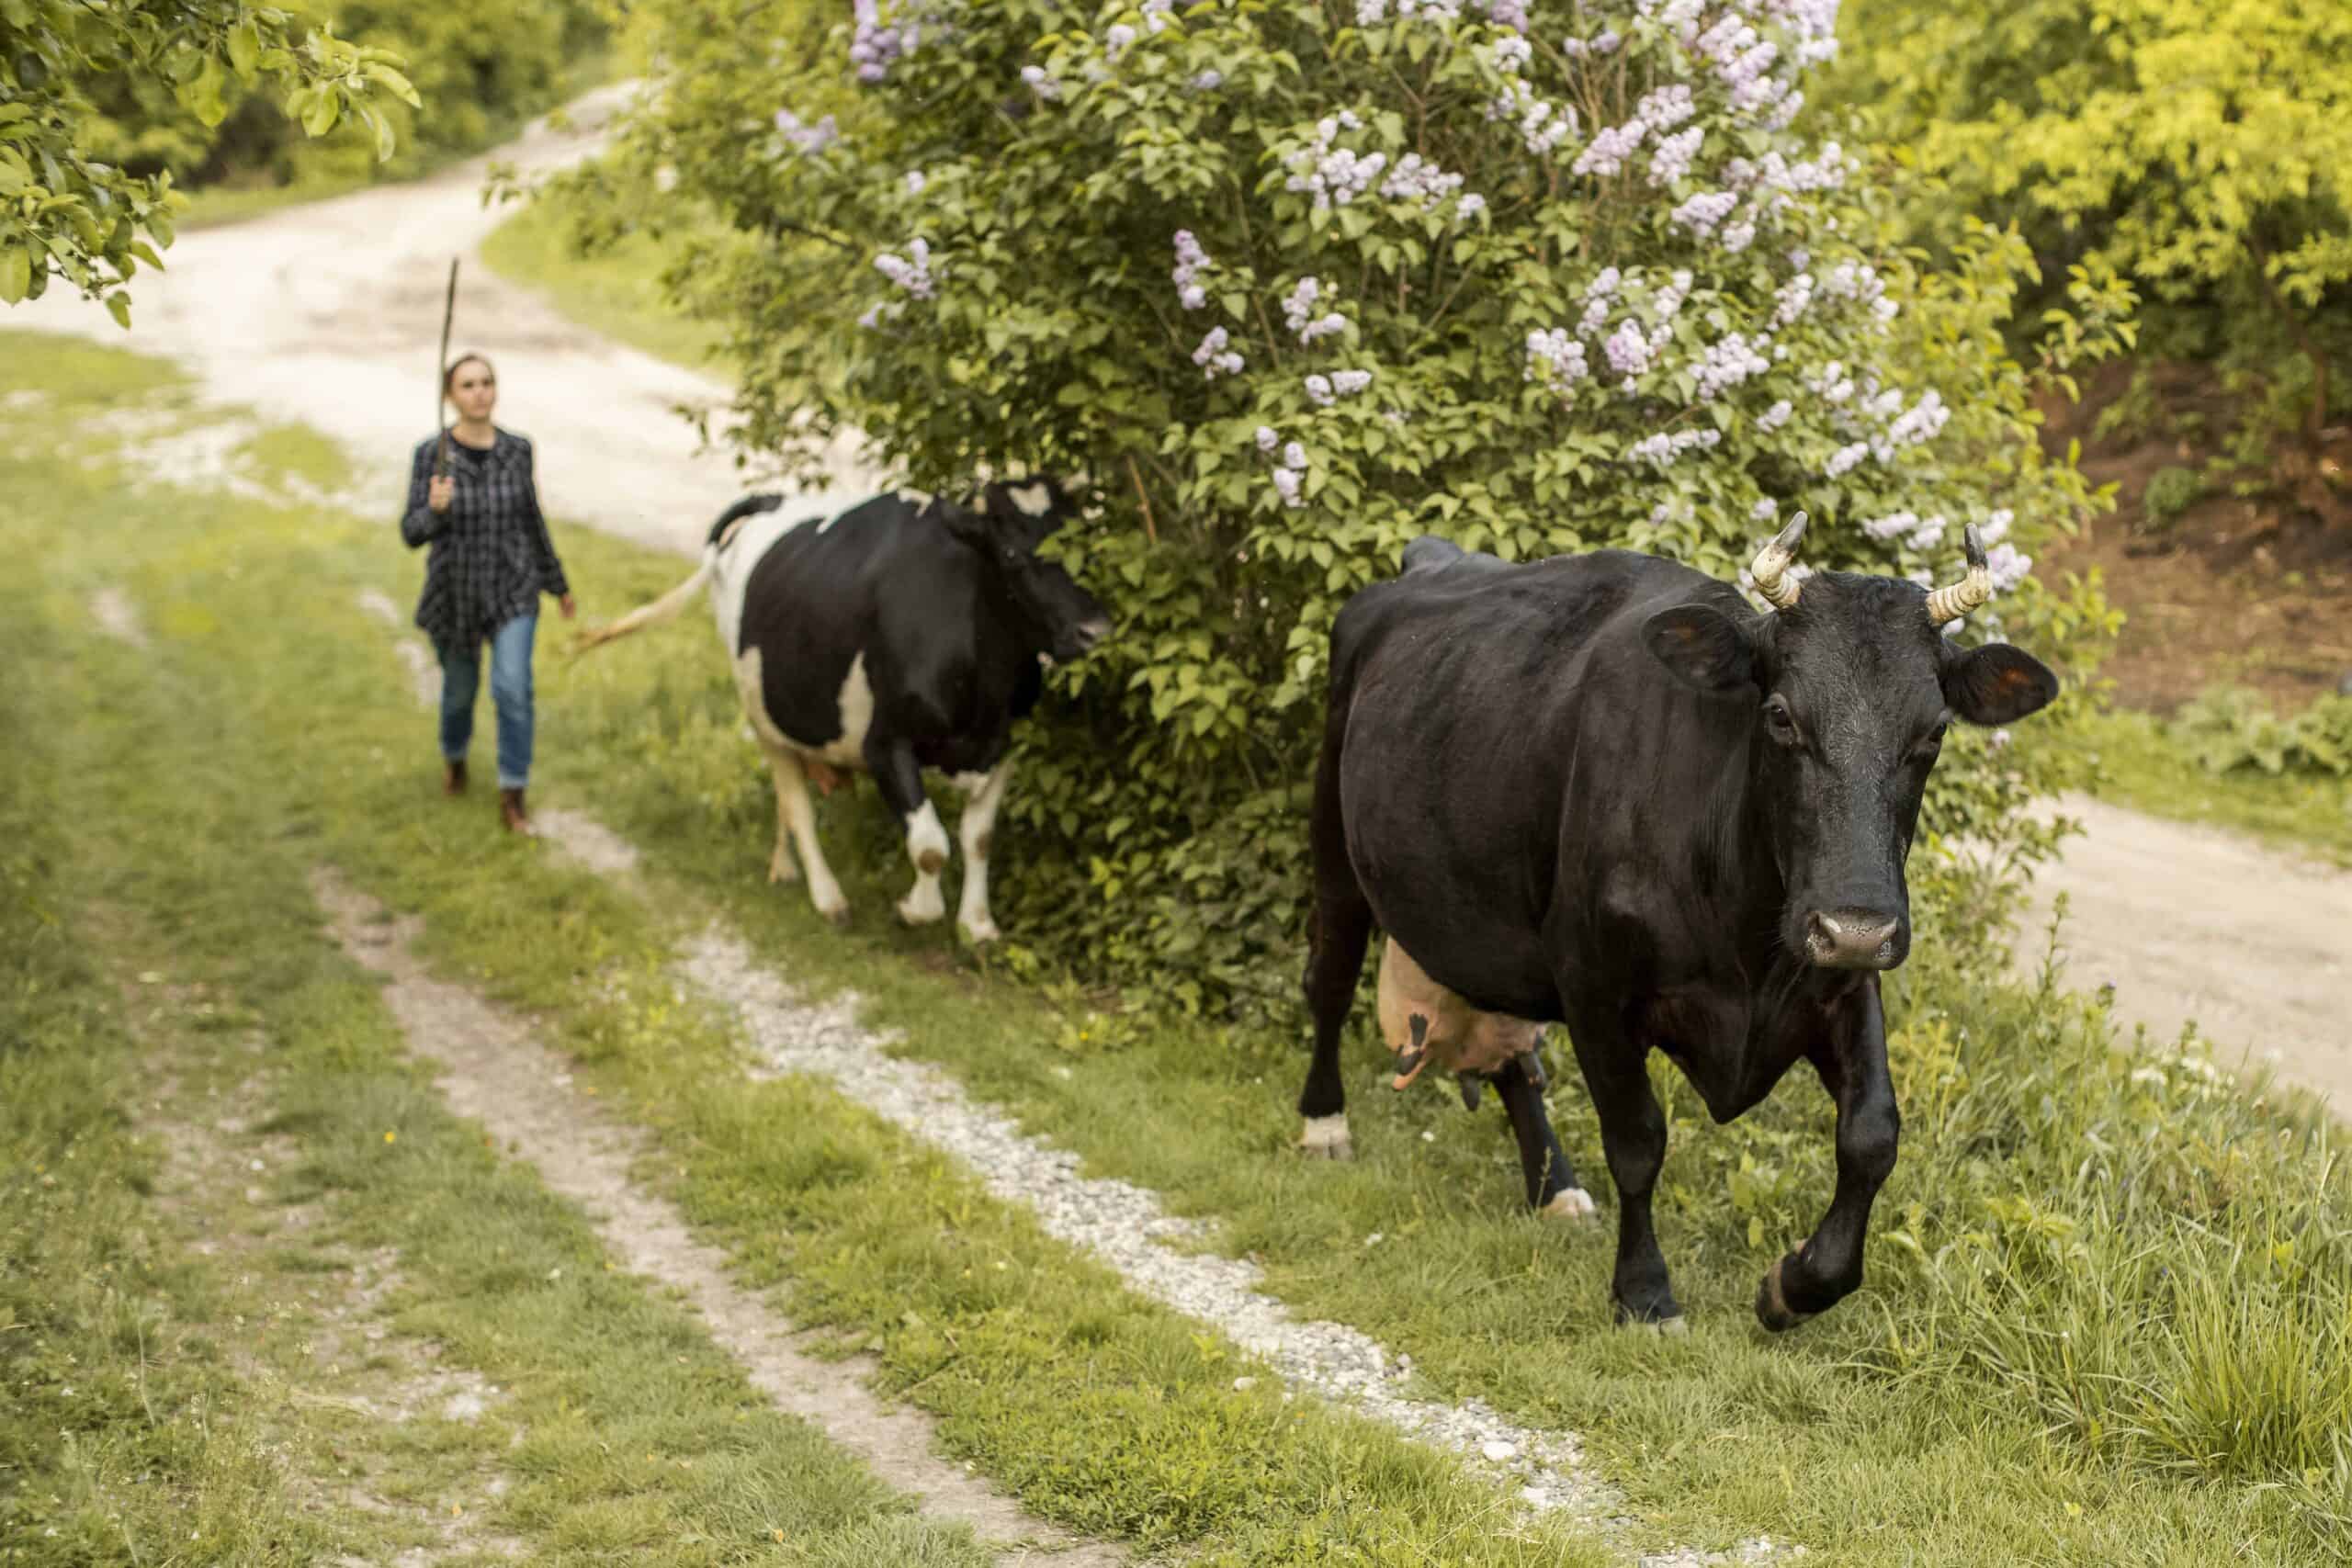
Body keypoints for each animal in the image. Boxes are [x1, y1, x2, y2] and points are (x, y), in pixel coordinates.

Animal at [576, 481, 1110, 942]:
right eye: (1013, 555)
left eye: (1087, 543)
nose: (1095, 631)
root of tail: (774, 498)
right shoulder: (885, 744)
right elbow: (931, 846)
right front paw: (915, 910)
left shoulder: (1004, 748)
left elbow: (978, 839)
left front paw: (978, 926)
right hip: (762, 716)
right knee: (797, 805)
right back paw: (828, 897)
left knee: (786, 803)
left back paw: (783, 868)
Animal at [1297, 518, 2058, 1332]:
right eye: (1780, 714)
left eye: (1934, 731)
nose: (1854, 924)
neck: (1748, 947)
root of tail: (1432, 558)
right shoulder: (1592, 983)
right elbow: (1638, 1139)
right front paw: (1645, 1289)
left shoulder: (1840, 983)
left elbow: (1872, 1136)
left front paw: (1795, 1285)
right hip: (1336, 848)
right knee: (1330, 981)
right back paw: (1325, 1123)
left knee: (1506, 1044)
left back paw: (1554, 1187)